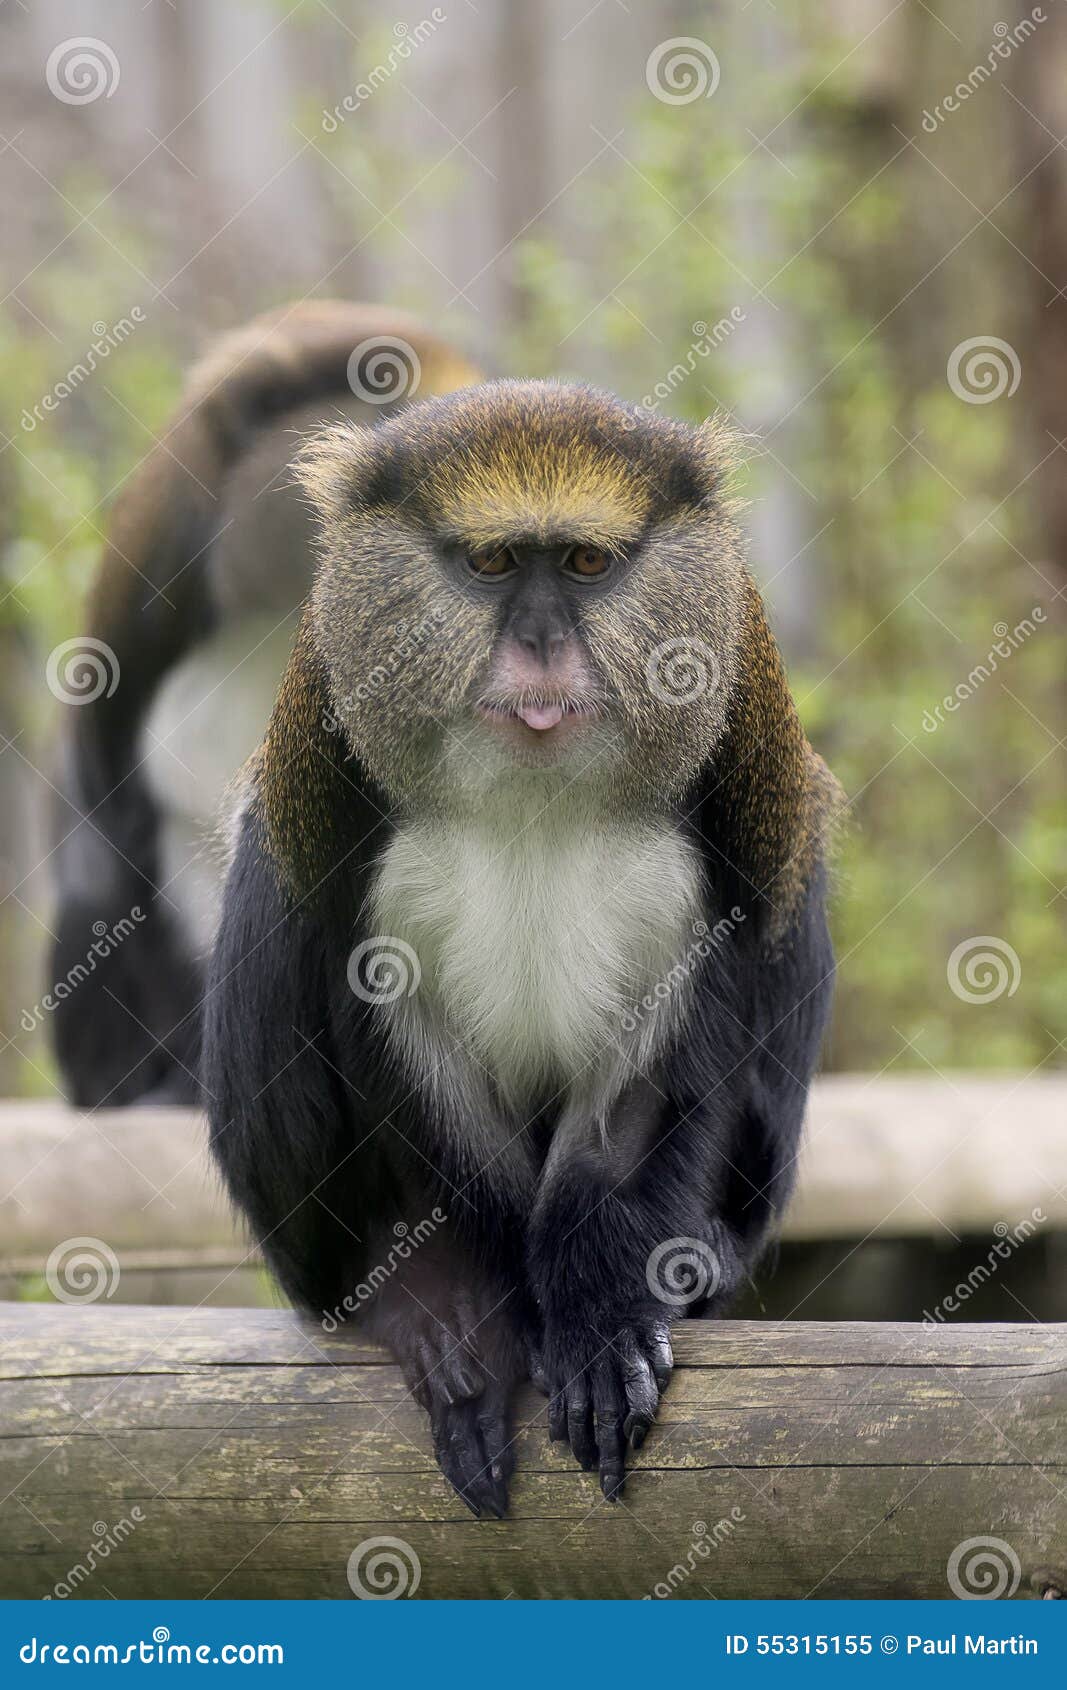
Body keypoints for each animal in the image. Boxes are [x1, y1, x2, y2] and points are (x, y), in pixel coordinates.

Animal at [204, 375, 842, 1514]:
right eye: (494, 564)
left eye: (585, 565)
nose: (542, 642)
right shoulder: (324, 750)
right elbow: (398, 1062)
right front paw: (449, 1311)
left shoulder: (739, 746)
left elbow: (651, 1090)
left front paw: (601, 1324)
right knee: (269, 905)